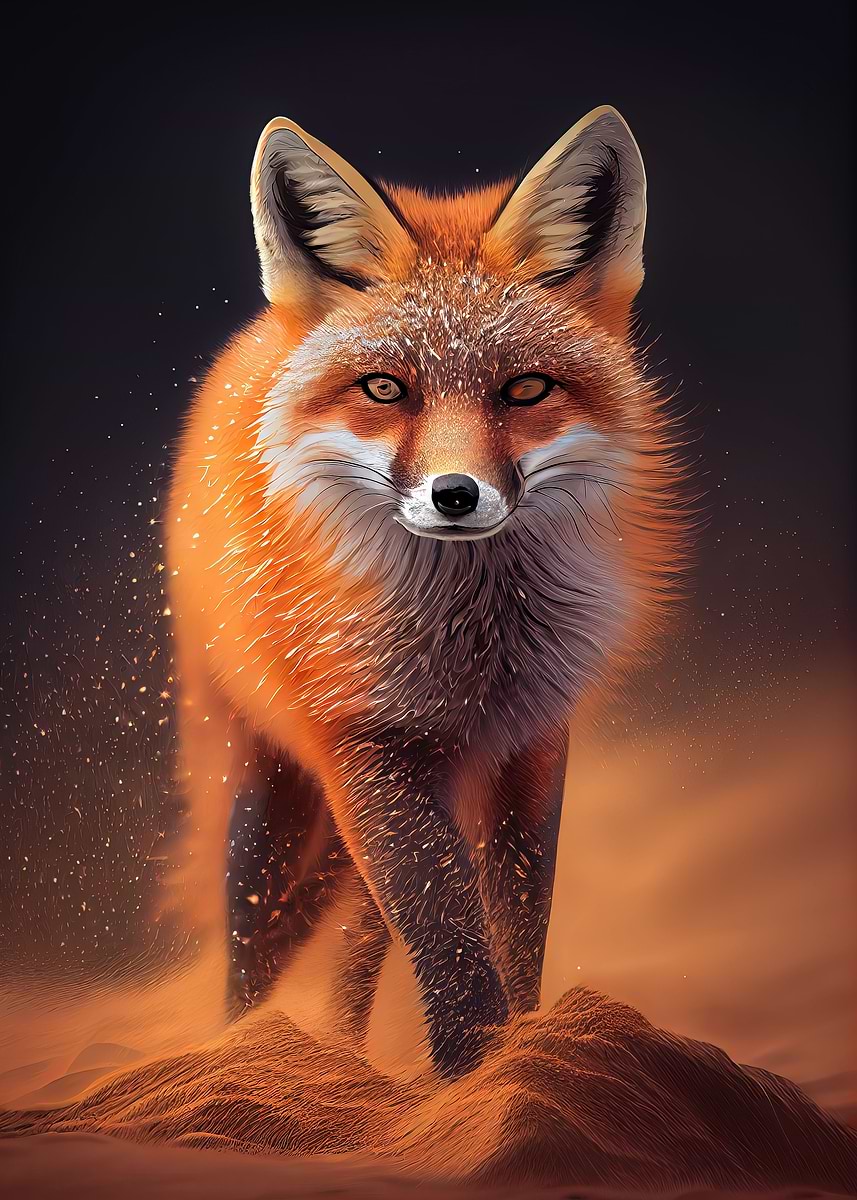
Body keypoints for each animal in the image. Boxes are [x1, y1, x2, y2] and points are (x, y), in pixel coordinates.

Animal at [167, 105, 686, 1079]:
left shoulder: (529, 744)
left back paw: (340, 1059)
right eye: (384, 388)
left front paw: (516, 1064)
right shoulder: (363, 745)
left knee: (357, 940)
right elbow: (444, 928)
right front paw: (473, 1073)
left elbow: (511, 918)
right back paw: (243, 1052)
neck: (471, 647)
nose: (455, 494)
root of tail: (255, 339)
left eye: (524, 388)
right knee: (256, 936)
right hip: (269, 786)